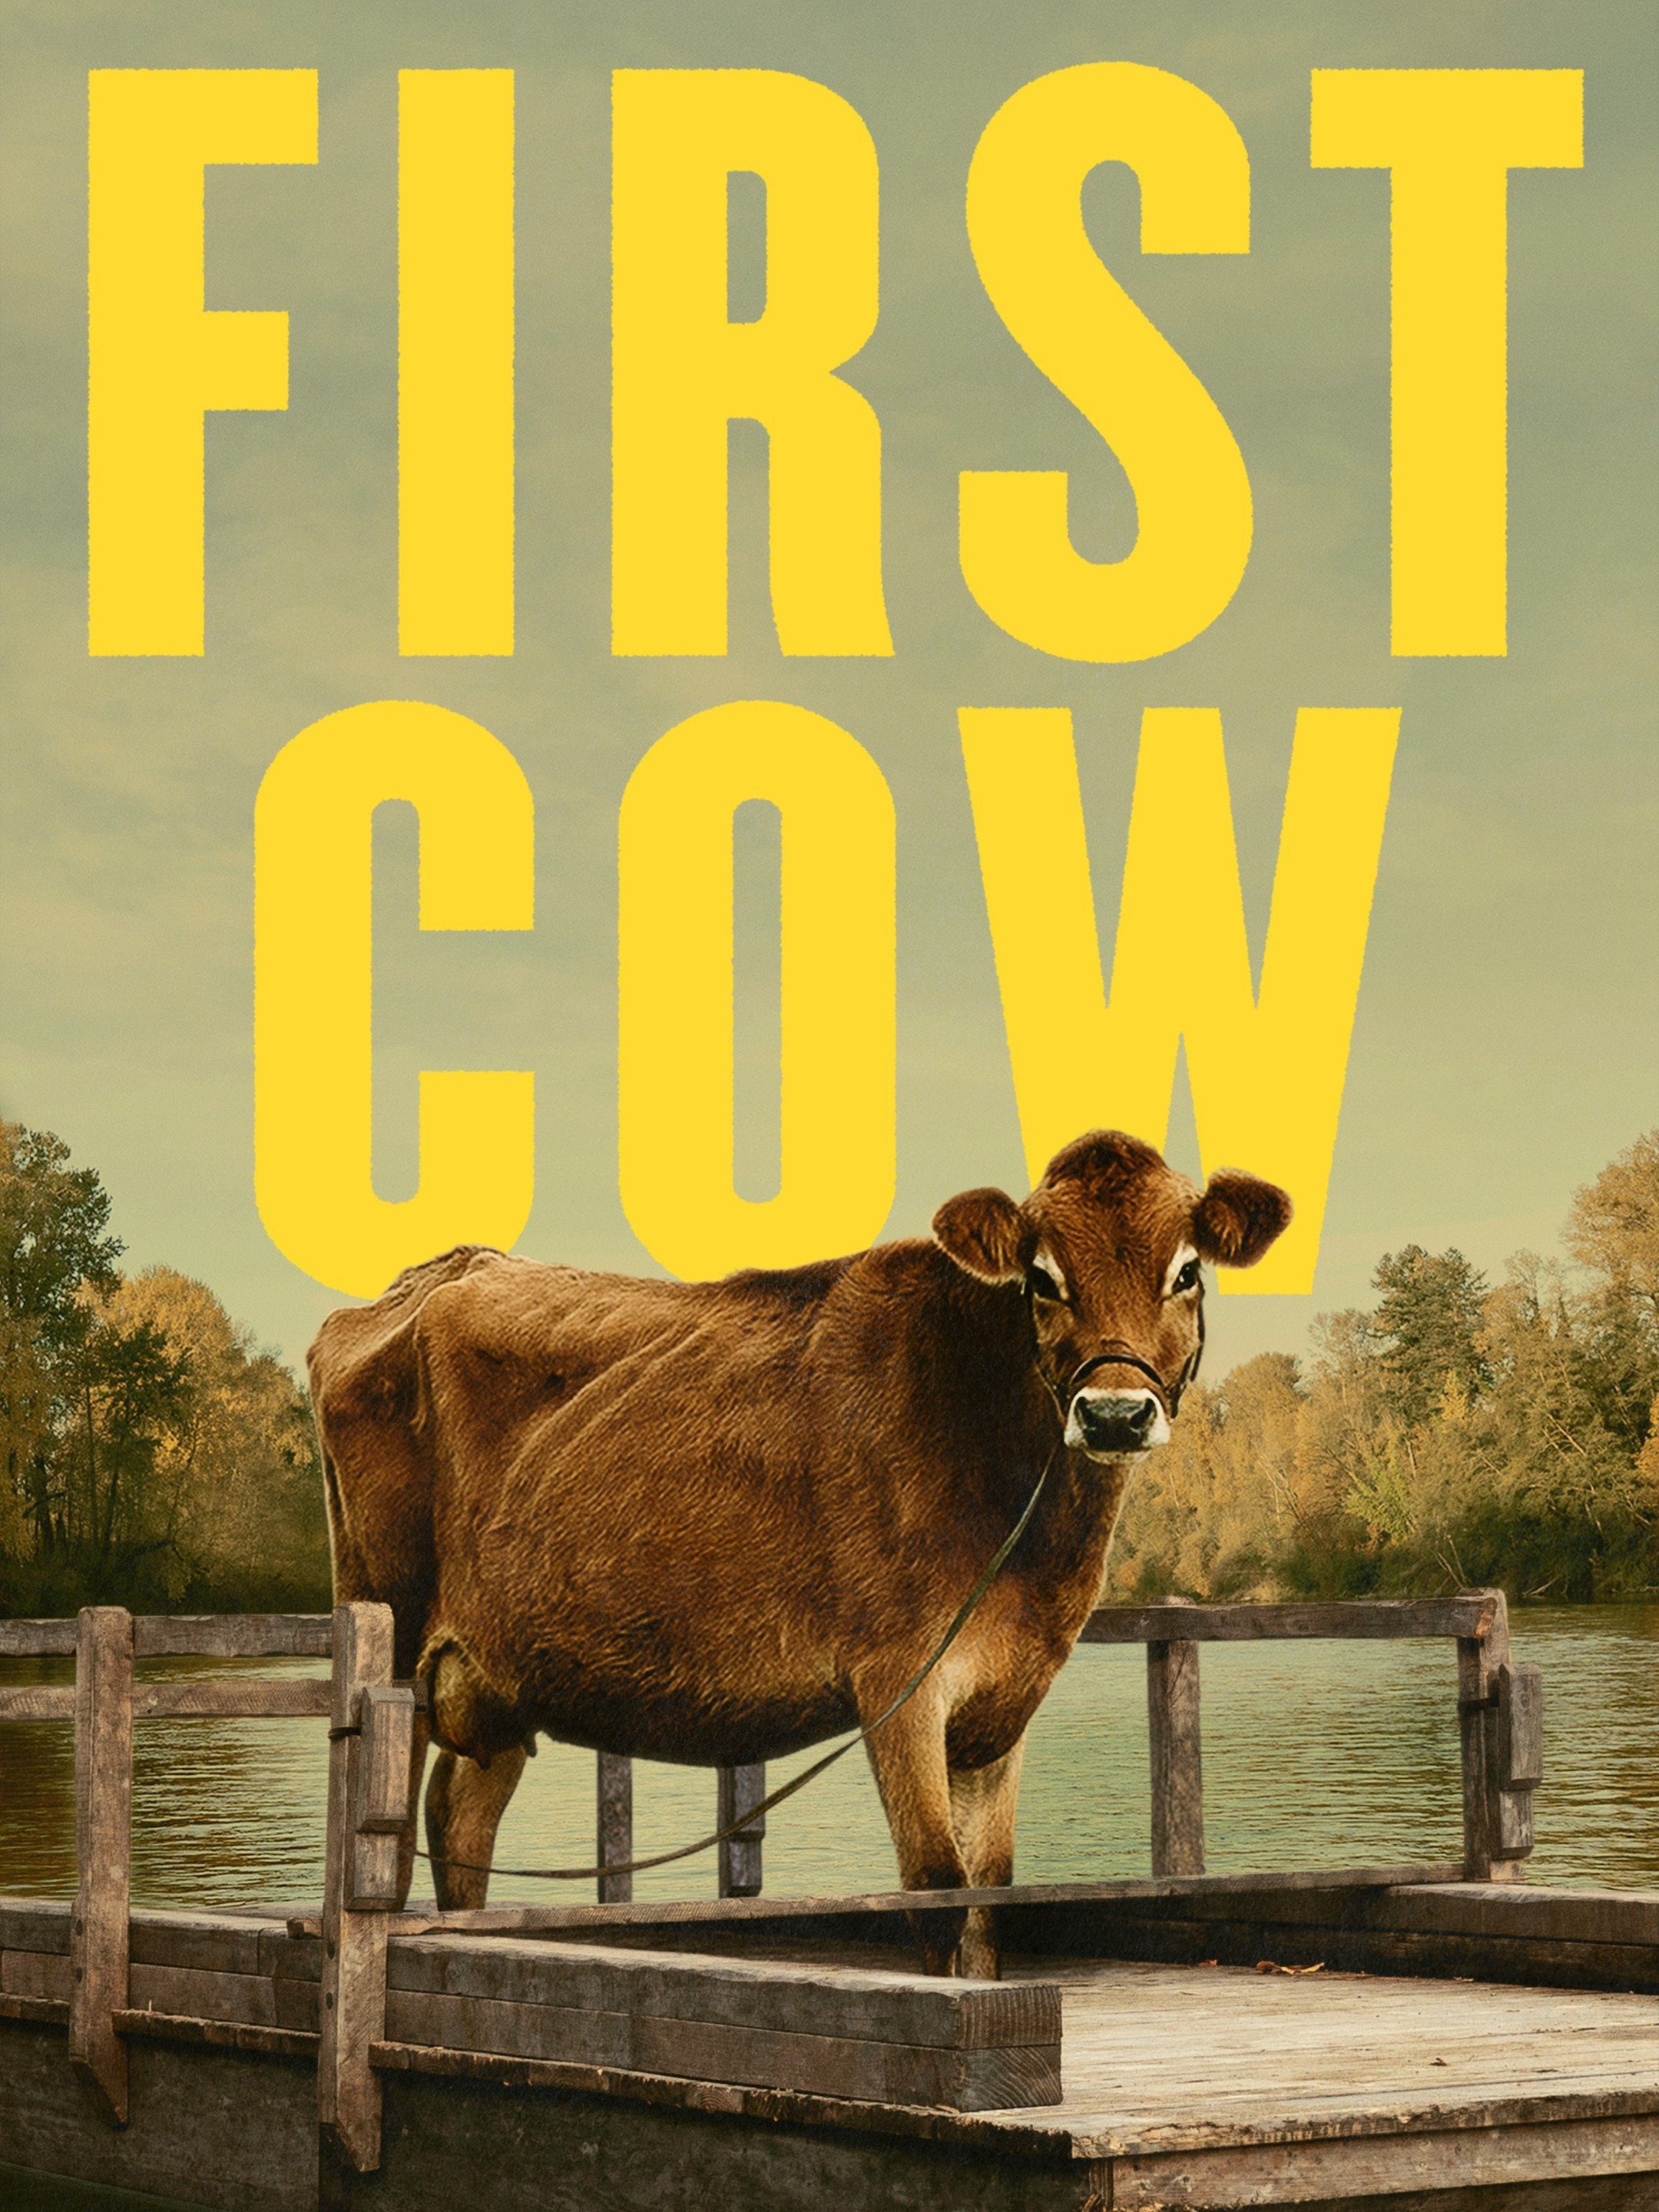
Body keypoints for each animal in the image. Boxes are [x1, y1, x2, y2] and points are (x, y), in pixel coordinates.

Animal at [309, 1130, 1290, 1975]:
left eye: (1187, 1271)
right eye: (1043, 1278)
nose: (1114, 1414)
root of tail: (437, 1274)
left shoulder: (1002, 1700)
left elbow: (990, 1898)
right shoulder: (899, 1678)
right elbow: (935, 1889)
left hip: (501, 1673)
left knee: (461, 1818)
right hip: (390, 1630)